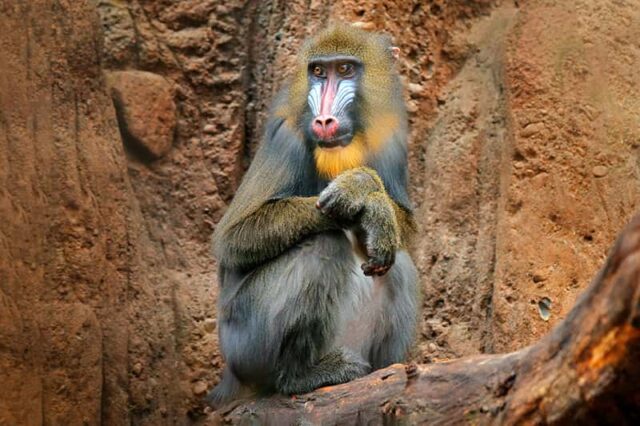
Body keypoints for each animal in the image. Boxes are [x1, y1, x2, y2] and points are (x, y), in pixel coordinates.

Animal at [207, 23, 419, 406]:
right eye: (318, 72)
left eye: (346, 69)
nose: (323, 119)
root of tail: (230, 379)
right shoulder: (285, 138)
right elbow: (235, 239)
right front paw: (359, 192)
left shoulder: (391, 138)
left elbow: (405, 228)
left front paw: (368, 196)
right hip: (245, 343)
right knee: (323, 246)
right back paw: (301, 376)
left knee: (399, 264)